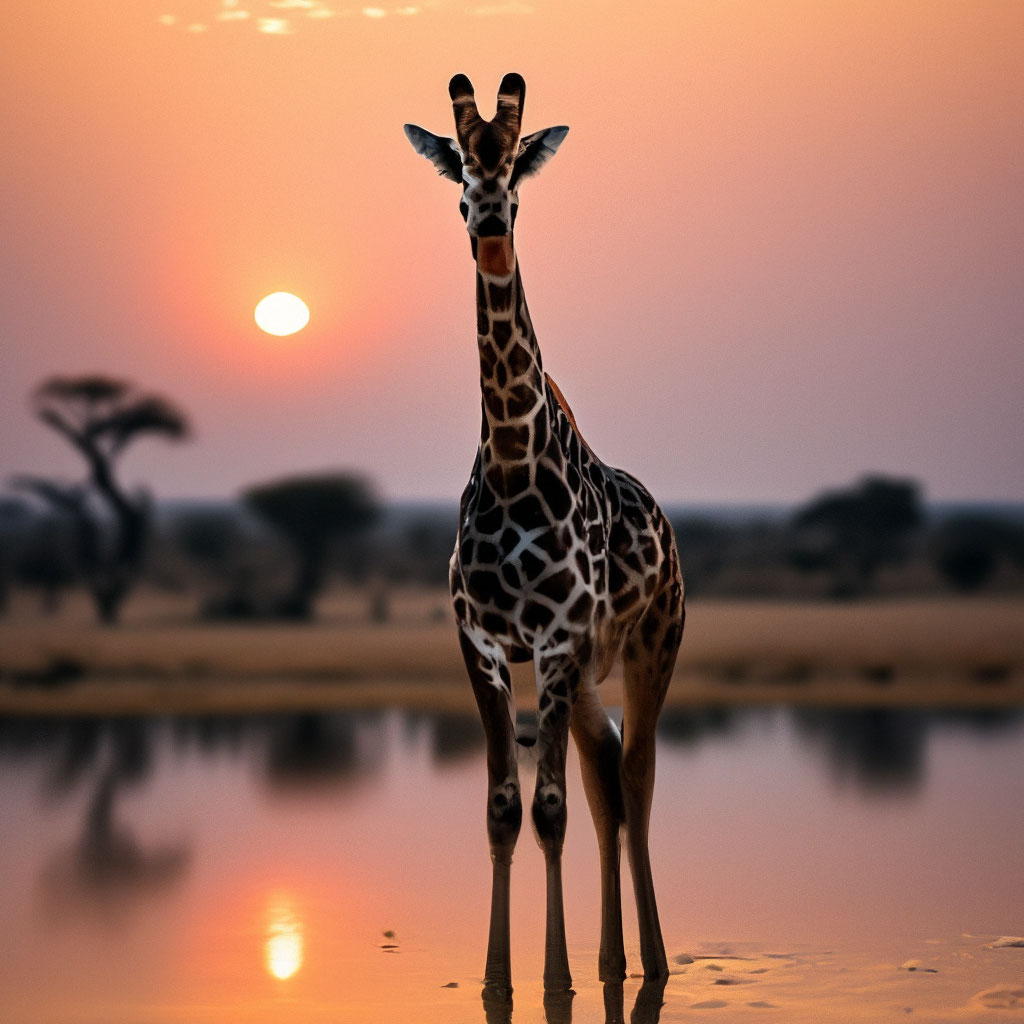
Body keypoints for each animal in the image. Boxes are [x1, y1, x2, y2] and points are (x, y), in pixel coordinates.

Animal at [404, 73, 685, 998]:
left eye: (516, 188)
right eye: (461, 184)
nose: (491, 231)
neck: (514, 465)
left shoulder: (556, 640)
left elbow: (549, 809)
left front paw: (555, 986)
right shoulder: (485, 643)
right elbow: (504, 808)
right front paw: (501, 983)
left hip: (649, 648)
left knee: (635, 779)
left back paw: (650, 967)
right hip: (593, 676)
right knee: (606, 783)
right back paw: (612, 961)